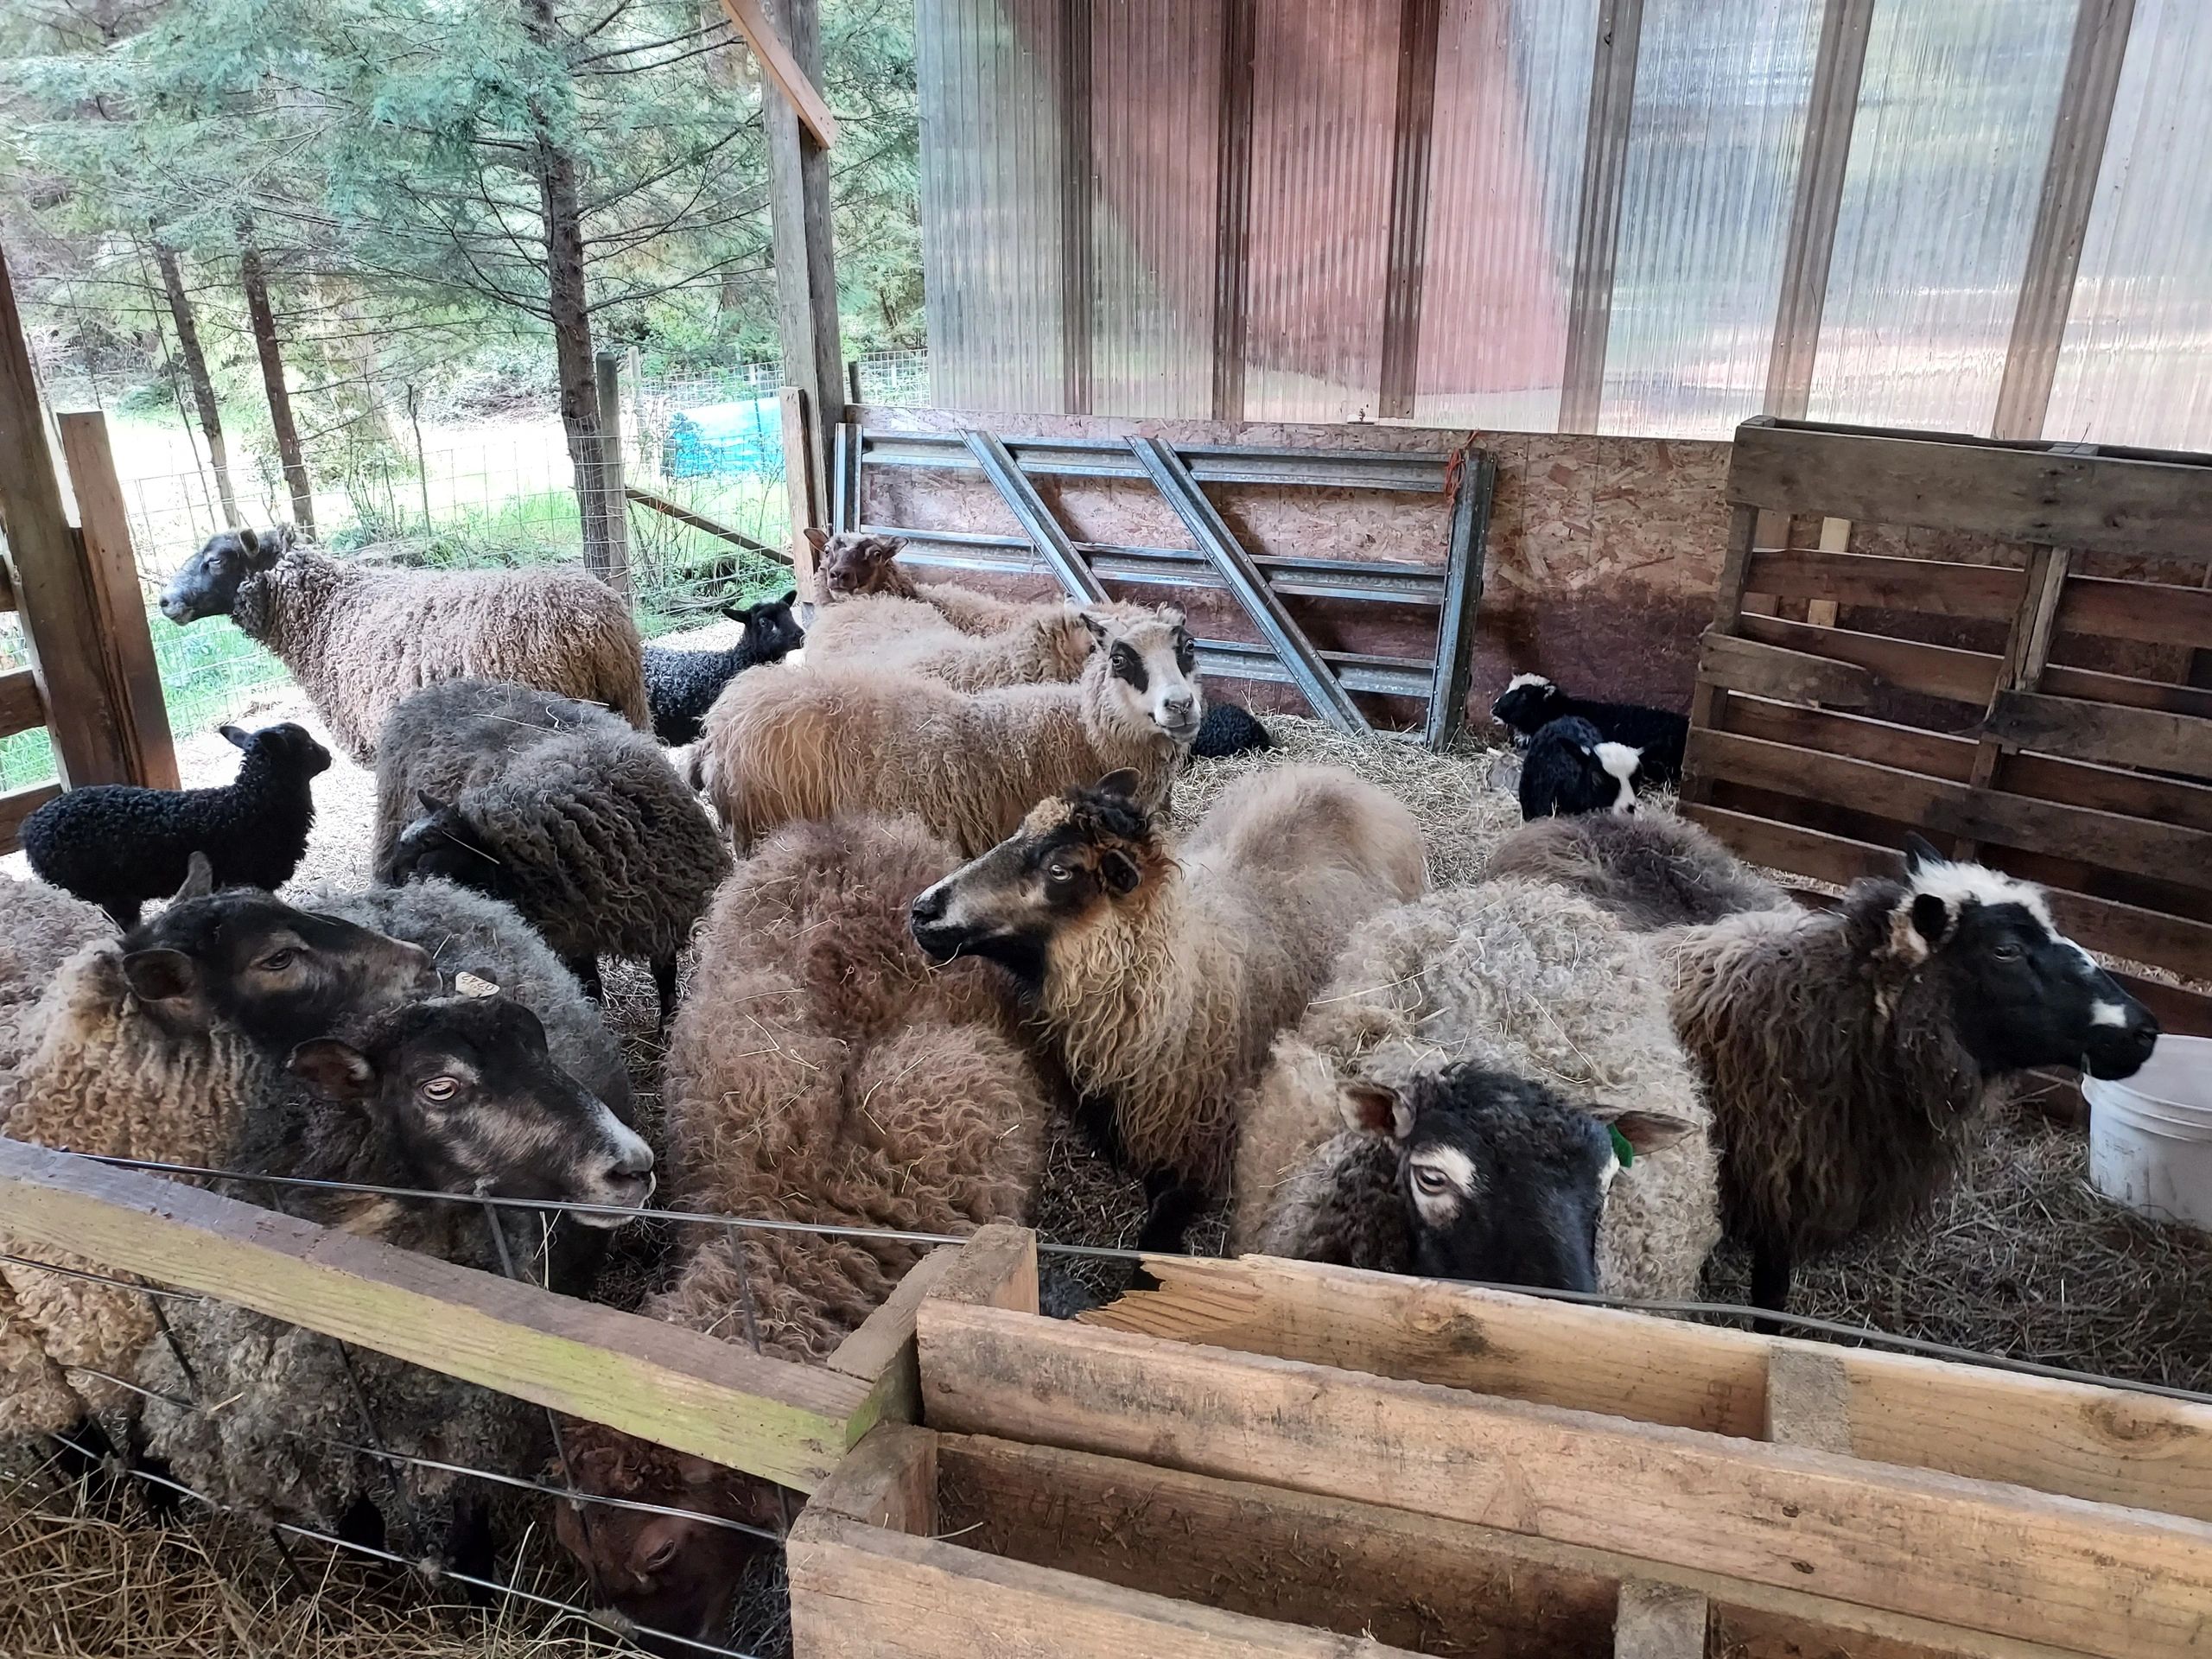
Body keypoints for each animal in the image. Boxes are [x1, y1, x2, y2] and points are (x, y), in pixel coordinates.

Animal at [138, 990, 655, 1570]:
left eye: (542, 1051)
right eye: (440, 1086)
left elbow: (468, 1521)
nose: (634, 1167)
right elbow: (358, 1512)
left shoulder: (478, 1418)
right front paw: (365, 1558)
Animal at [373, 679, 732, 1020]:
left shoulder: (662, 909)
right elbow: (591, 985)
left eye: (427, 860)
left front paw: (667, 1027)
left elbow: (665, 975)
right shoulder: (572, 931)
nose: (386, 890)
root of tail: (426, 696)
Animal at [911, 763, 1425, 1246]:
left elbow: (1159, 1234)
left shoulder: (1196, 1147)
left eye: (1061, 870)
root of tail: (1340, 778)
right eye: (1018, 829)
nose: (922, 911)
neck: (1170, 983)